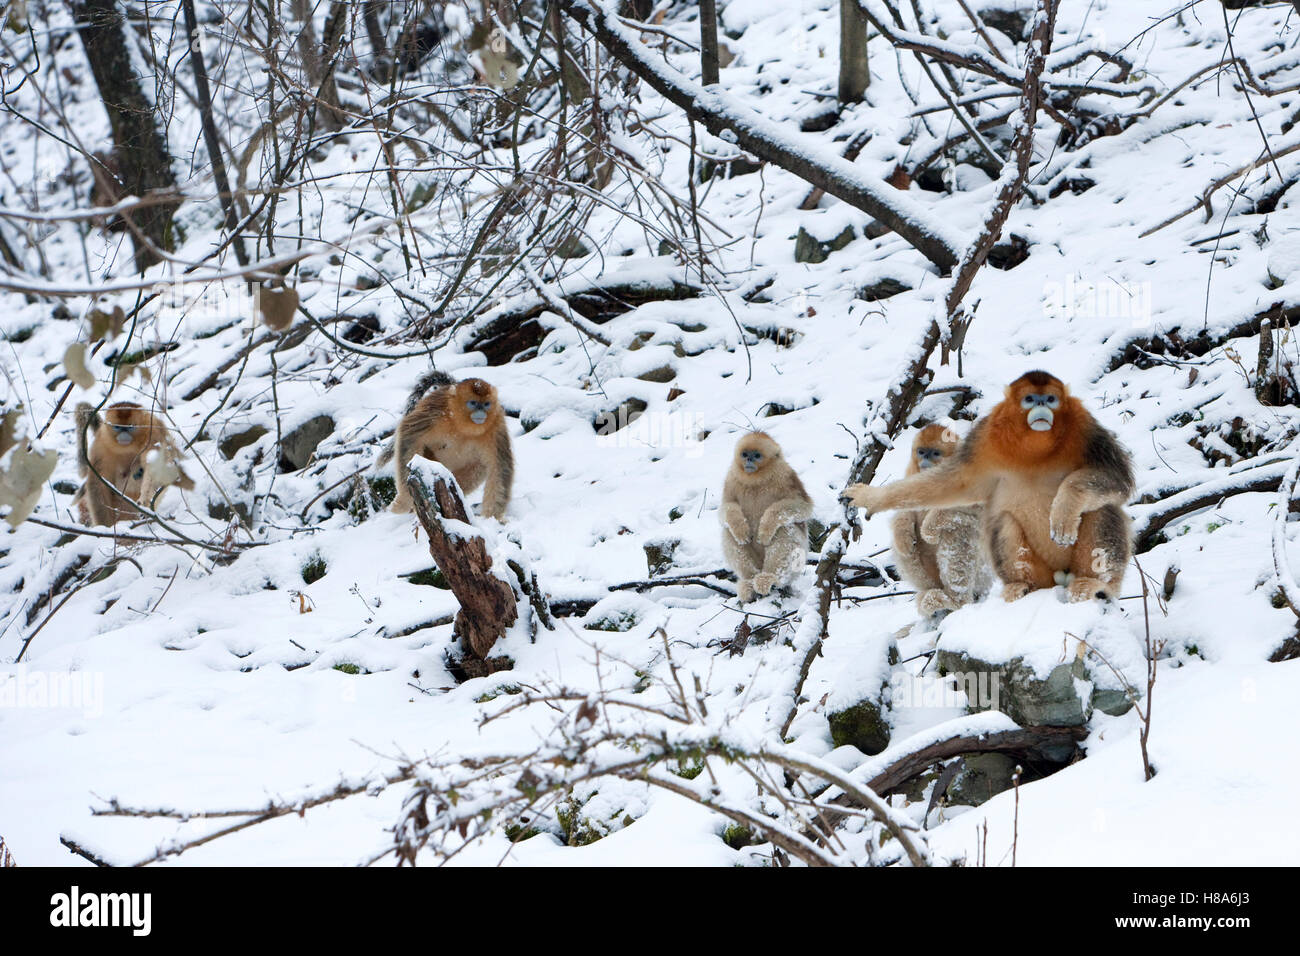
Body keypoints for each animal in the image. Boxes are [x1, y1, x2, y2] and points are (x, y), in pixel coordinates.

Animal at [380, 372, 514, 521]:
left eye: (486, 404)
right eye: (473, 403)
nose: (481, 413)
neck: (462, 425)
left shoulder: (496, 423)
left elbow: (500, 467)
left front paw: (493, 518)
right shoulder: (437, 410)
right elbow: (408, 435)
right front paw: (404, 501)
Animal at [720, 432, 814, 603]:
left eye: (756, 455)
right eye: (745, 454)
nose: (749, 460)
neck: (756, 480)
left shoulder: (786, 475)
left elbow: (804, 507)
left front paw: (765, 529)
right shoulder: (731, 479)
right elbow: (725, 507)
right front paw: (740, 528)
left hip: (795, 569)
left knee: (785, 528)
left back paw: (768, 578)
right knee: (728, 531)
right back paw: (749, 582)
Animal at [888, 424, 992, 618]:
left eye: (935, 453)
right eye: (921, 452)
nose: (925, 461)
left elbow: (979, 506)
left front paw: (929, 528)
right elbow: (904, 508)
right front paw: (902, 534)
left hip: (984, 575)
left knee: (960, 528)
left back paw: (954, 601)